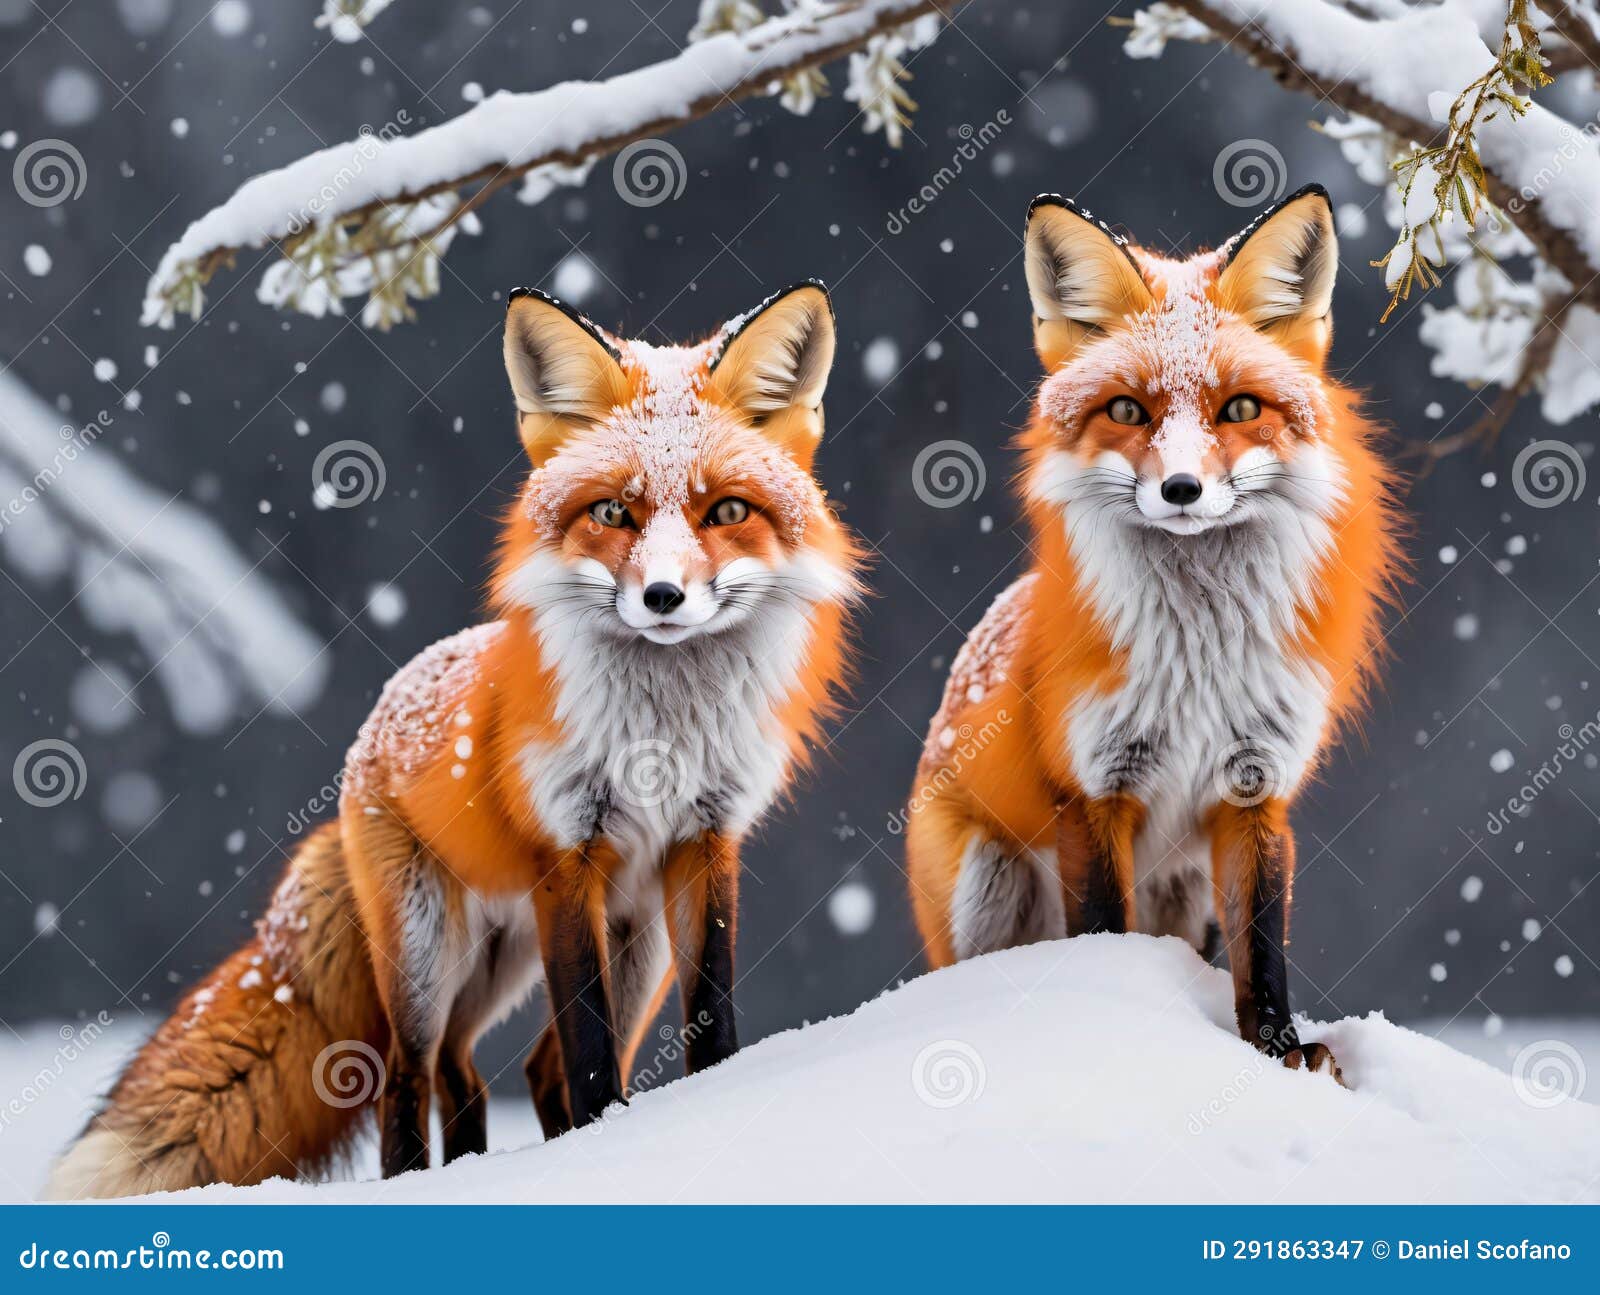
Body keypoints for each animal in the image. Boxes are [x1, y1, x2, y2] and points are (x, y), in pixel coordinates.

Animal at [46, 280, 860, 1198]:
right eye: (612, 511)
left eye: (726, 511)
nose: (662, 596)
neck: (665, 733)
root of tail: (368, 737)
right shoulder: (566, 858)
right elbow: (588, 1051)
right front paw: (604, 1152)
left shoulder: (705, 844)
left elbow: (706, 1019)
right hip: (430, 953)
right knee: (409, 1075)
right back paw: (423, 1178)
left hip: (604, 944)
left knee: (488, 1071)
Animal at [904, 185, 1400, 1080]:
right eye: (1128, 410)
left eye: (1240, 408)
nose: (1181, 488)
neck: (1200, 656)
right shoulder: (1095, 789)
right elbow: (1106, 926)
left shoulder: (1255, 788)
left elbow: (1261, 949)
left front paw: (1279, 1051)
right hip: (987, 884)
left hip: (1185, 889)